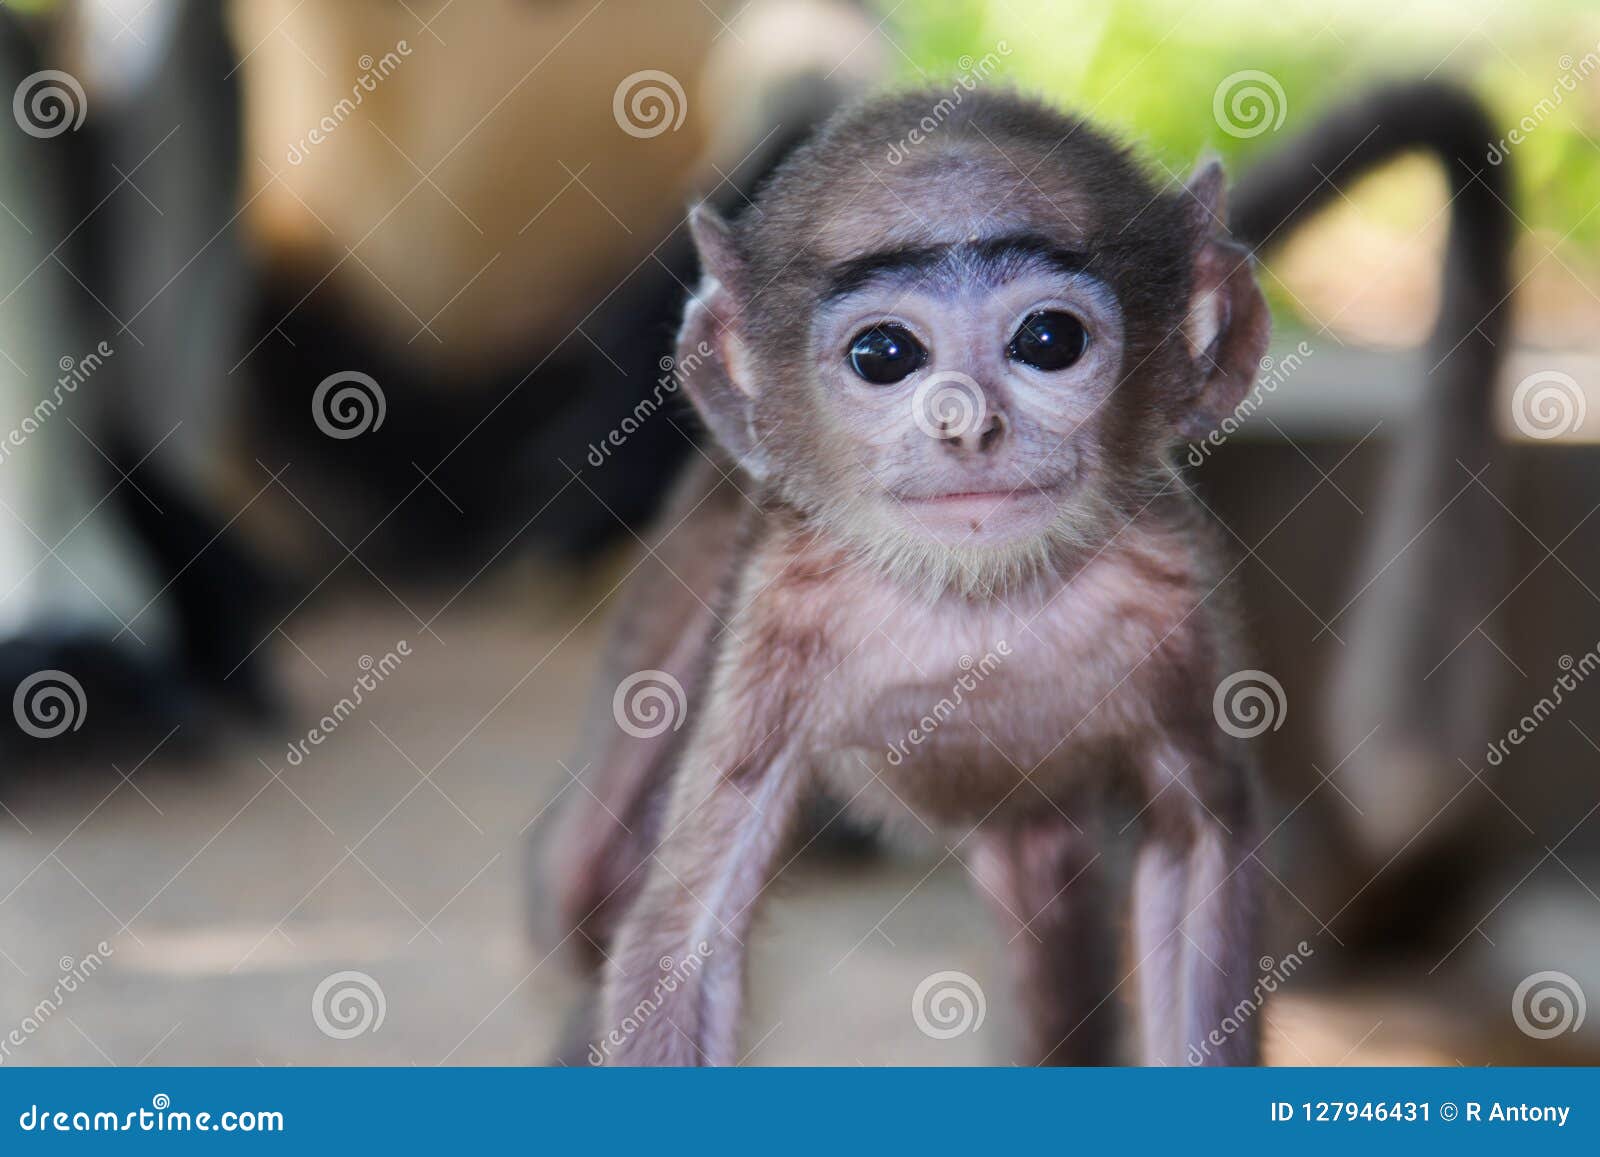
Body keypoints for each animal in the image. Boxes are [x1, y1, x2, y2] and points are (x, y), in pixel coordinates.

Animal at [550, 86, 1276, 1067]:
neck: (976, 602)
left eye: (1050, 339)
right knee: (585, 876)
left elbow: (1201, 845)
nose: (965, 425)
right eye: (885, 354)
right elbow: (678, 940)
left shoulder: (1178, 591)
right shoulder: (781, 602)